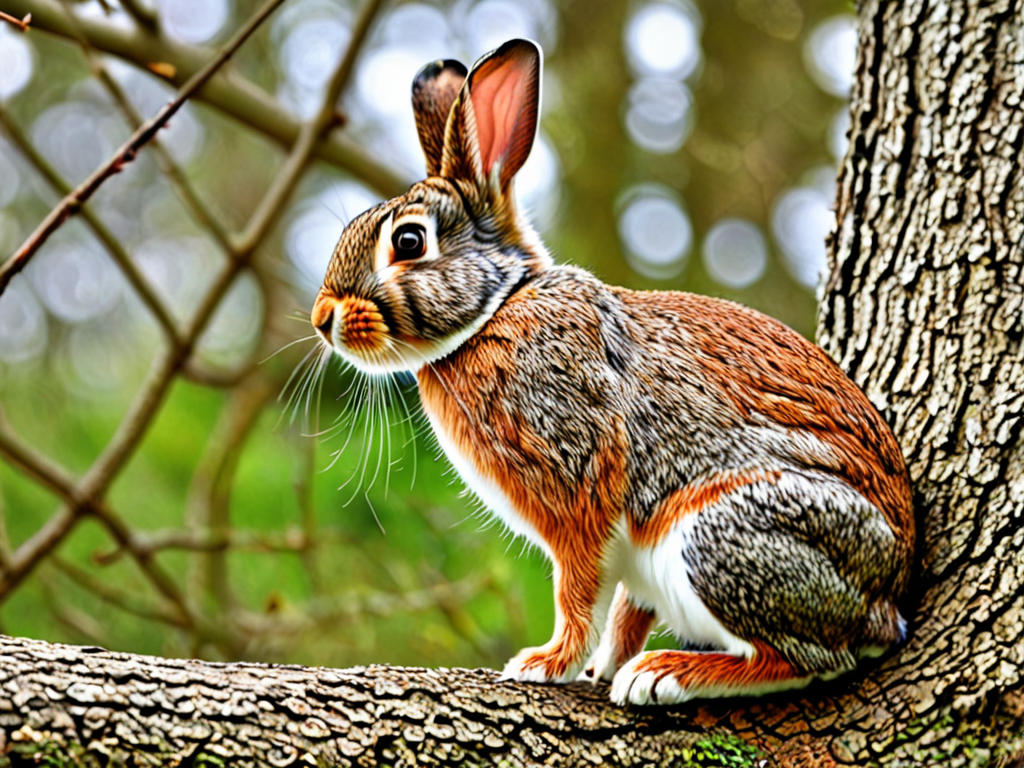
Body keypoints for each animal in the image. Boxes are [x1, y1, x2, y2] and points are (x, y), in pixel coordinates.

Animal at [310, 39, 915, 706]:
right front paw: (597, 669)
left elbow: (575, 587)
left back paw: (668, 674)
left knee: (810, 657)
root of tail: (887, 598)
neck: (500, 305)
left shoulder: (580, 484)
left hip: (721, 535)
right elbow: (626, 607)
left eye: (410, 242)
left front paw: (546, 663)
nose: (323, 318)